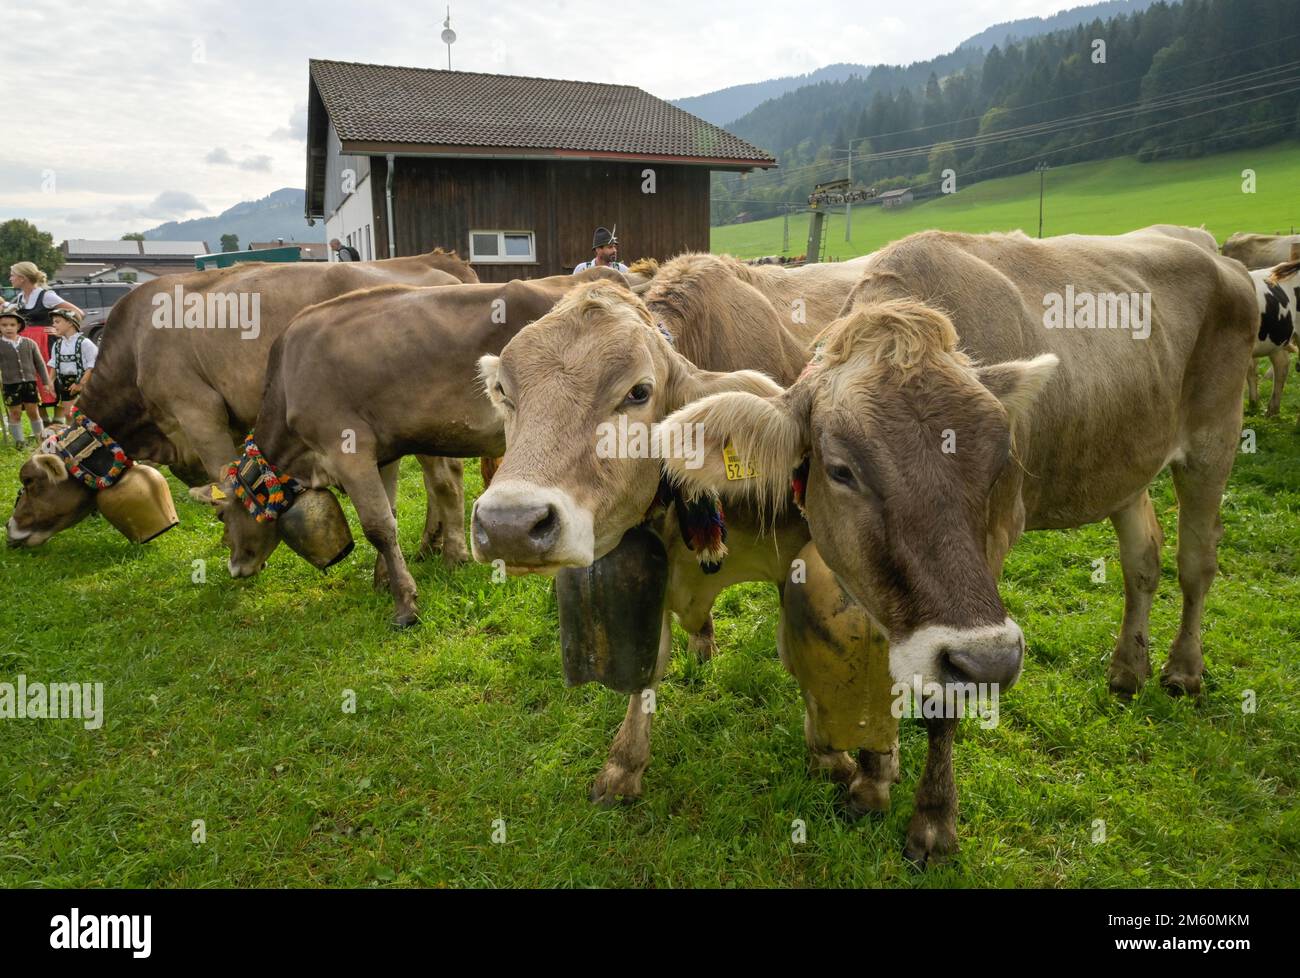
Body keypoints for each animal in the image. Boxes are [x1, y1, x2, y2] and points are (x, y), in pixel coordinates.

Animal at [6, 250, 477, 567]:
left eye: (29, 481)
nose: (11, 532)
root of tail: (435, 263)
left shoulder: (200, 414)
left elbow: (222, 477)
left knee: (445, 477)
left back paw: (448, 550)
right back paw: (430, 545)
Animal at [469, 254, 901, 820]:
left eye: (638, 392)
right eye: (505, 393)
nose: (510, 525)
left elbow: (805, 649)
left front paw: (841, 760)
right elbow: (650, 661)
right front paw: (623, 765)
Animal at [661, 229, 1257, 863]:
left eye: (1000, 463)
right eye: (842, 470)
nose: (996, 663)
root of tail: (1210, 252)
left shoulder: (994, 543)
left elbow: (942, 699)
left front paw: (932, 819)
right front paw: (874, 776)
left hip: (1215, 442)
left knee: (1197, 564)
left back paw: (1183, 669)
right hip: (1126, 462)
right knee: (1142, 559)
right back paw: (1127, 669)